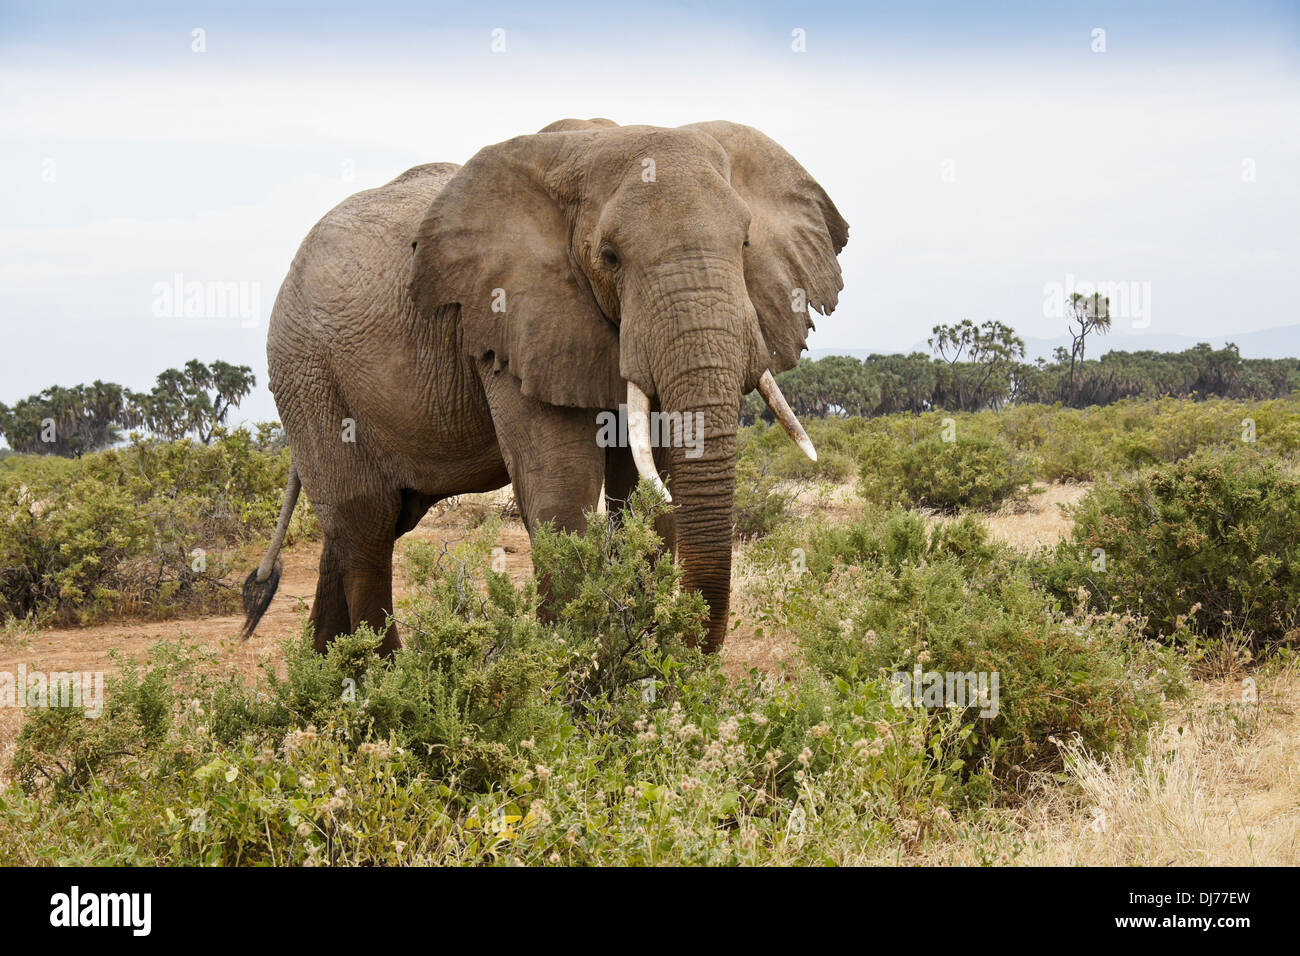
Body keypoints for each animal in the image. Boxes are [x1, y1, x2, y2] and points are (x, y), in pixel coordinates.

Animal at [241, 117, 848, 654]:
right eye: (610, 257)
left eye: (745, 243)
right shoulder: (507, 316)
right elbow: (562, 494)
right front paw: (573, 682)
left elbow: (649, 494)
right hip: (306, 371)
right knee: (364, 525)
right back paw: (379, 688)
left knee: (362, 529)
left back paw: (325, 680)